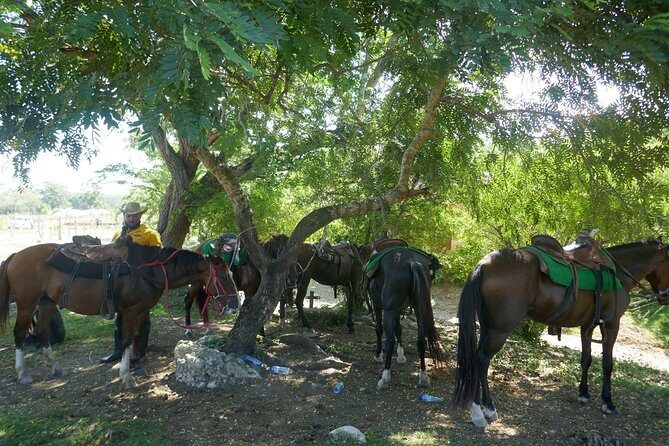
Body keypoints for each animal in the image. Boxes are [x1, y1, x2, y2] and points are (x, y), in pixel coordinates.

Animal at [0, 237, 237, 387]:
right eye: (224, 277)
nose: (235, 304)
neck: (148, 269)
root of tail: (16, 255)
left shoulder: (140, 311)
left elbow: (134, 338)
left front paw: (134, 366)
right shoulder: (131, 311)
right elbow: (126, 339)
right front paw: (126, 376)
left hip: (47, 302)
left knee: (41, 332)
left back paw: (54, 368)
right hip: (27, 303)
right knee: (20, 333)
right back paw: (23, 374)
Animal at [366, 239, 443, 390]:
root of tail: (412, 262)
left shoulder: (379, 306)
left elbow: (379, 329)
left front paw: (378, 355)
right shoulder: (398, 309)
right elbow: (399, 330)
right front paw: (401, 355)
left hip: (388, 310)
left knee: (389, 340)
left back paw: (385, 377)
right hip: (419, 310)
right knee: (421, 340)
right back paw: (423, 377)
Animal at [452, 235, 669, 428]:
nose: (664, 298)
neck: (618, 275)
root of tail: (484, 264)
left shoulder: (587, 325)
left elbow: (586, 359)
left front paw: (584, 393)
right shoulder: (612, 324)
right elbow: (607, 364)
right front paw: (608, 402)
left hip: (488, 326)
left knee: (478, 359)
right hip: (499, 330)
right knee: (481, 360)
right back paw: (482, 411)